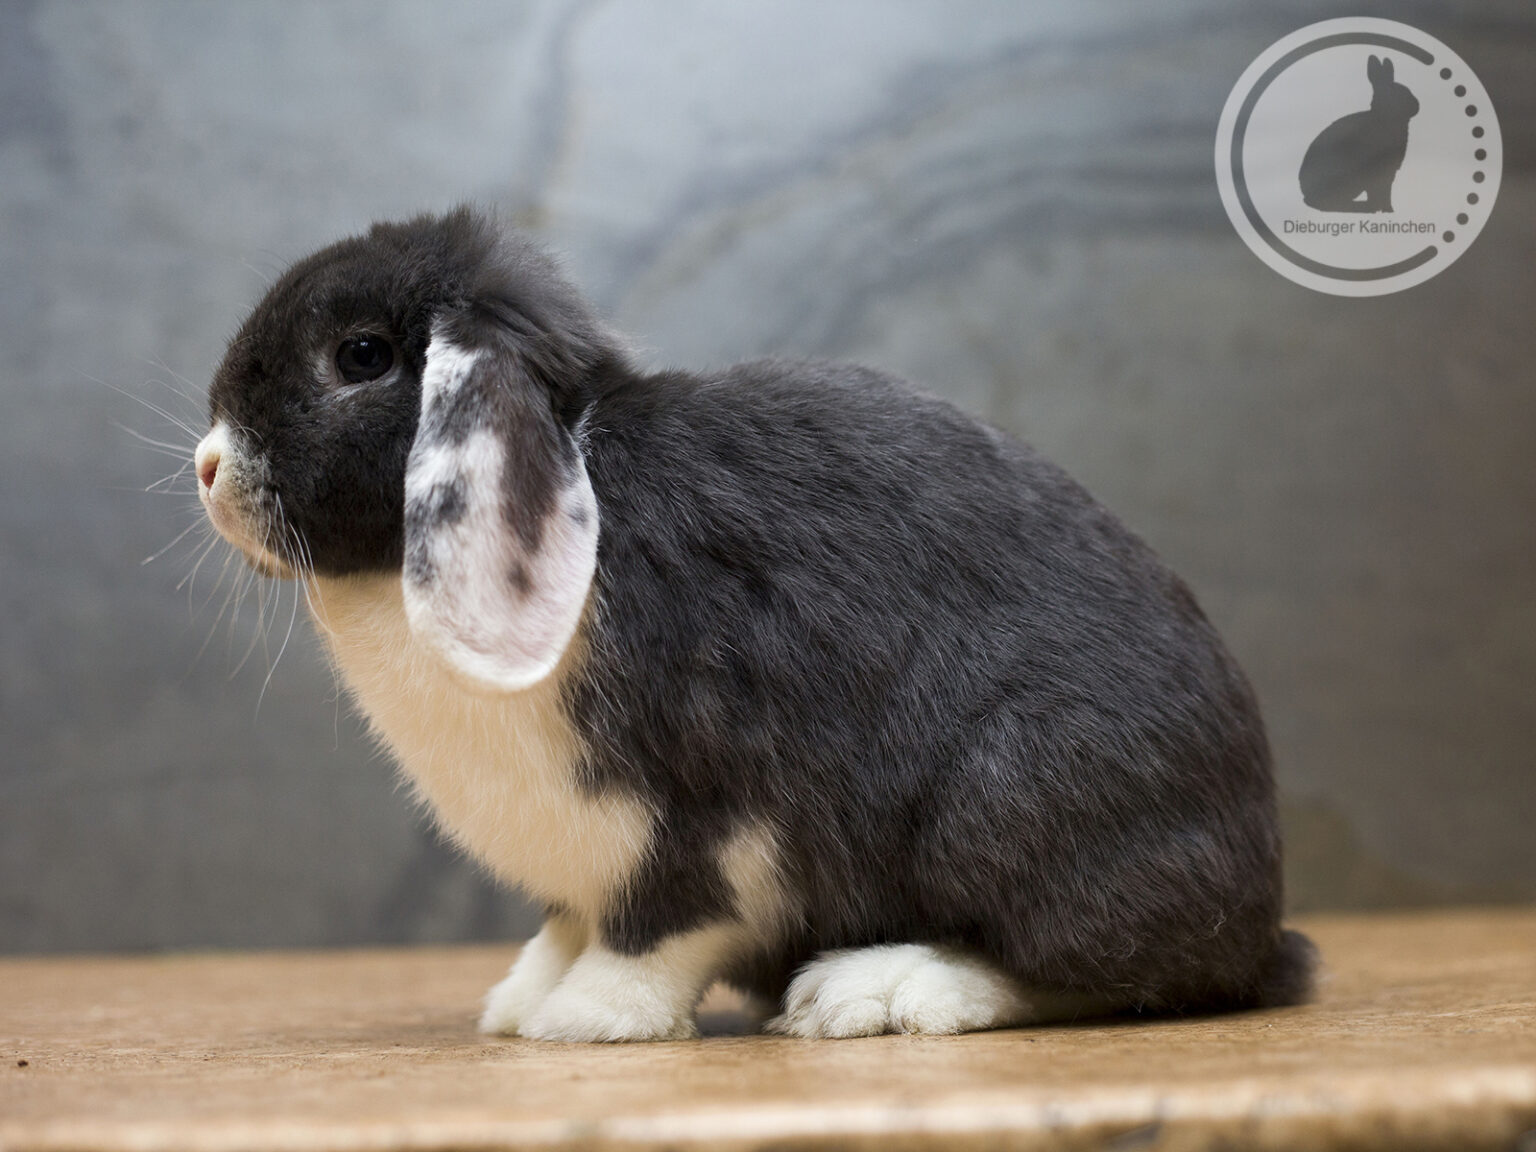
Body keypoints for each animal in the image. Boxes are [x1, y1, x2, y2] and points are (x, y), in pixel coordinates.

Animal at [194, 206, 1315, 1042]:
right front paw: (519, 1003)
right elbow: (568, 923)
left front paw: (587, 1020)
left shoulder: (707, 816)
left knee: (1098, 969)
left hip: (1013, 794)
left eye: (361, 355)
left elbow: (662, 926)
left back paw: (876, 990)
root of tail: (1260, 918)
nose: (208, 467)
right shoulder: (582, 859)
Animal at [1298, 54, 1420, 213]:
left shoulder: (1388, 172)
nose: (1417, 106)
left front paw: (1388, 210)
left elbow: (1386, 192)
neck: (1383, 117)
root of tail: (1305, 191)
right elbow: (1378, 191)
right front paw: (1381, 209)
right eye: (1394, 93)